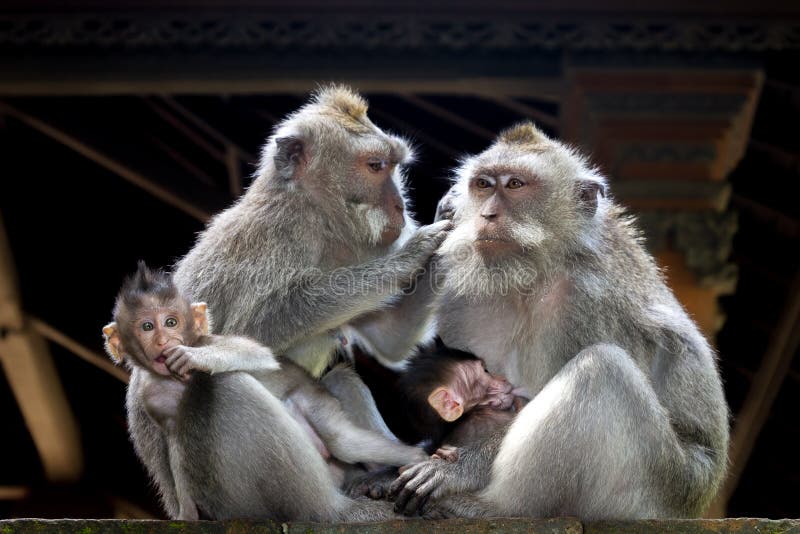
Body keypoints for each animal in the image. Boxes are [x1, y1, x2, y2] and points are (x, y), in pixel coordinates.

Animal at [103, 263, 427, 521]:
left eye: (171, 322)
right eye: (147, 326)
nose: (163, 341)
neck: (169, 379)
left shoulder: (207, 340)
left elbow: (256, 354)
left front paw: (196, 358)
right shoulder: (151, 397)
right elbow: (173, 439)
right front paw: (187, 514)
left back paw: (408, 464)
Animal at [388, 122, 730, 520]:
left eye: (515, 185)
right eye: (484, 185)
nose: (487, 215)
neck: (534, 272)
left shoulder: (586, 299)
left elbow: (527, 397)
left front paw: (456, 471)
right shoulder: (462, 284)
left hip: (656, 489)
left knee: (602, 368)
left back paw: (490, 507)